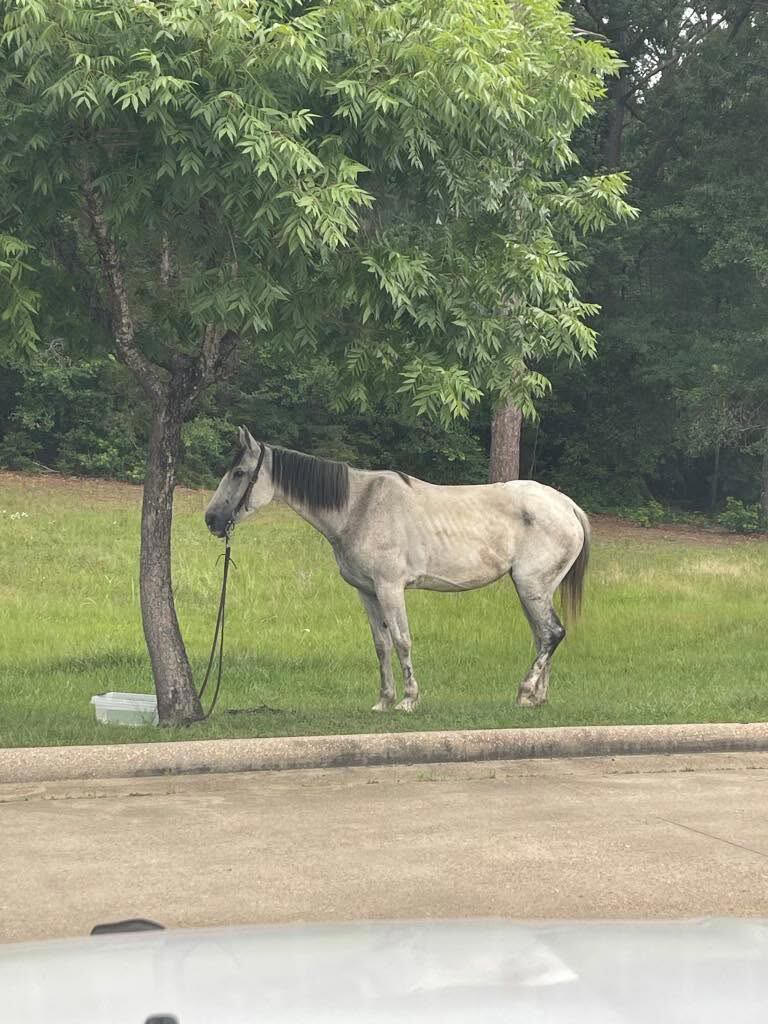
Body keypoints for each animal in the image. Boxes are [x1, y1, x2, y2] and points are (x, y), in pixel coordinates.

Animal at [205, 427, 590, 710]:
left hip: (531, 586)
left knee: (552, 634)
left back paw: (525, 692)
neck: (358, 507)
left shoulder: (390, 588)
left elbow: (402, 641)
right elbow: (381, 644)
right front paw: (384, 700)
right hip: (534, 590)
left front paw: (408, 700)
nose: (211, 519)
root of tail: (567, 505)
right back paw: (538, 697)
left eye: (239, 472)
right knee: (544, 635)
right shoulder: (367, 592)